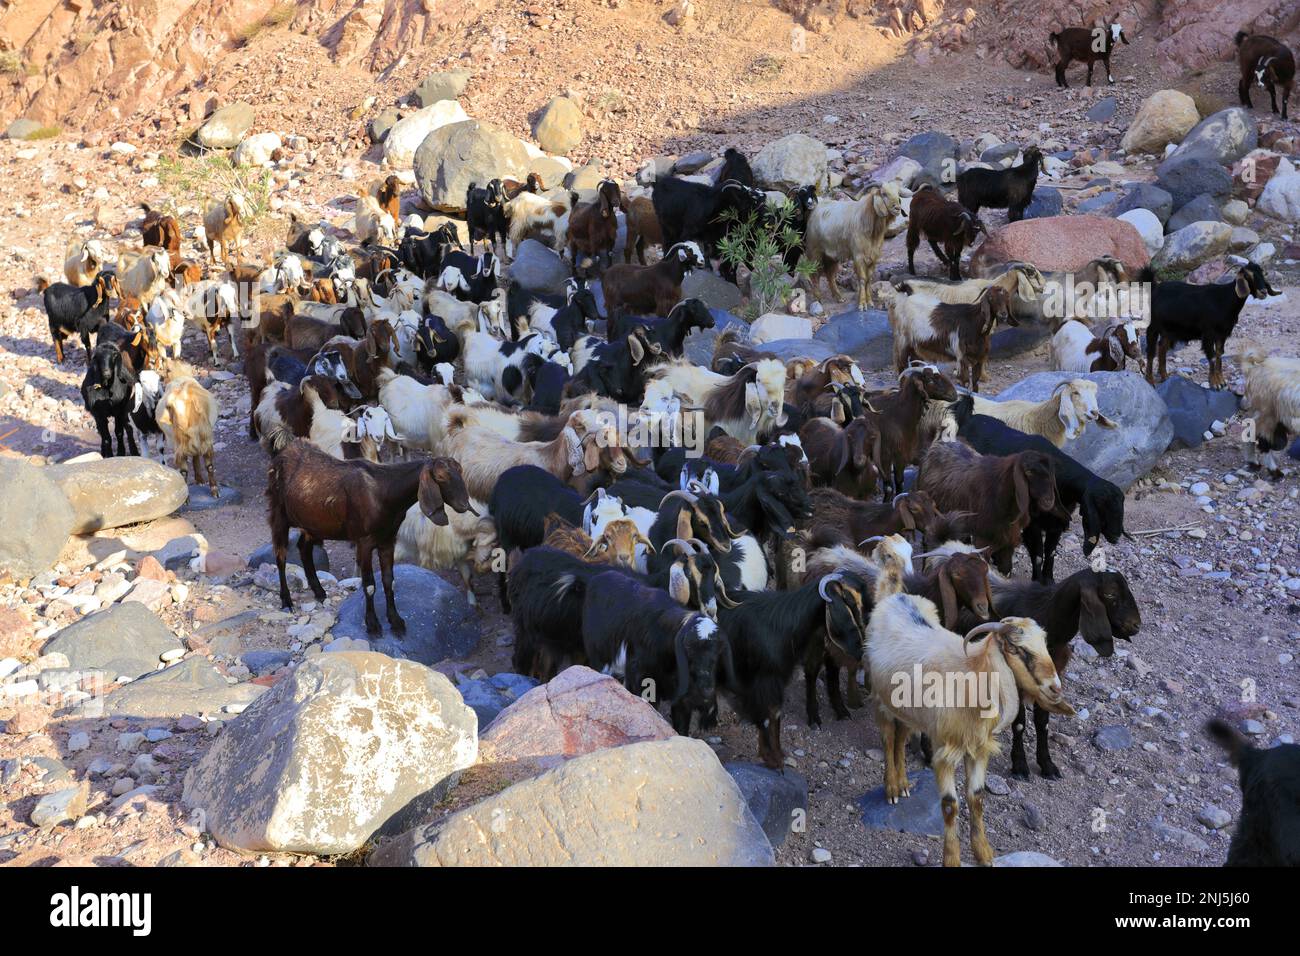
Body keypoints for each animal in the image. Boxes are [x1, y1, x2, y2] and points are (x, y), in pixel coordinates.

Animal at [268, 443, 475, 632]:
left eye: (461, 471)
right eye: (440, 477)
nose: (464, 505)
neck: (383, 492)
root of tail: (284, 452)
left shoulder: (388, 540)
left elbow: (389, 580)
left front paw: (396, 620)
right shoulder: (364, 542)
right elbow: (369, 584)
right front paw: (372, 624)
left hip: (313, 524)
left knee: (304, 548)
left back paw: (319, 592)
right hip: (278, 514)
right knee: (280, 556)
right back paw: (287, 600)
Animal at [1143, 264, 1280, 390]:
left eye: (1262, 273)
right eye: (1248, 276)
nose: (1263, 292)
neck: (1224, 300)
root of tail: (1155, 289)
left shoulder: (1222, 334)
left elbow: (1219, 353)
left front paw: (1221, 380)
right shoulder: (1208, 333)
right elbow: (1212, 356)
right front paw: (1215, 383)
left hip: (1169, 330)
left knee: (1162, 347)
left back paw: (1165, 376)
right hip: (1153, 326)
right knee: (1151, 351)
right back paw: (1150, 381)